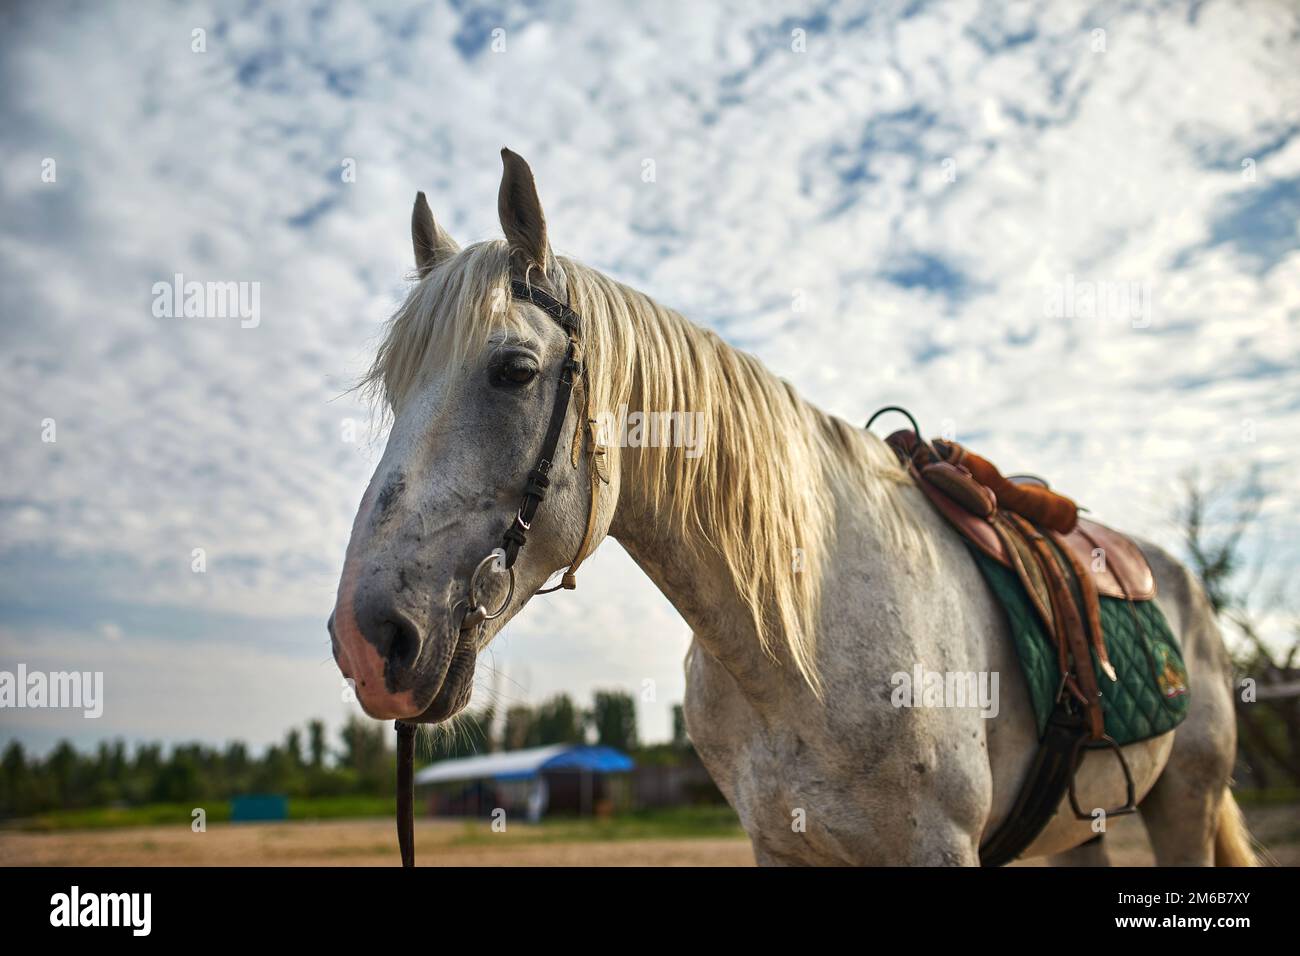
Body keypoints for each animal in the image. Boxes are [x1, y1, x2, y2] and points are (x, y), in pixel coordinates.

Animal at [328, 148, 1255, 866]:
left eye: (515, 370)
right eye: (393, 393)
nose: (368, 642)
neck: (798, 643)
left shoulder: (939, 845)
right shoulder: (780, 843)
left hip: (1186, 803)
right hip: (1082, 829)